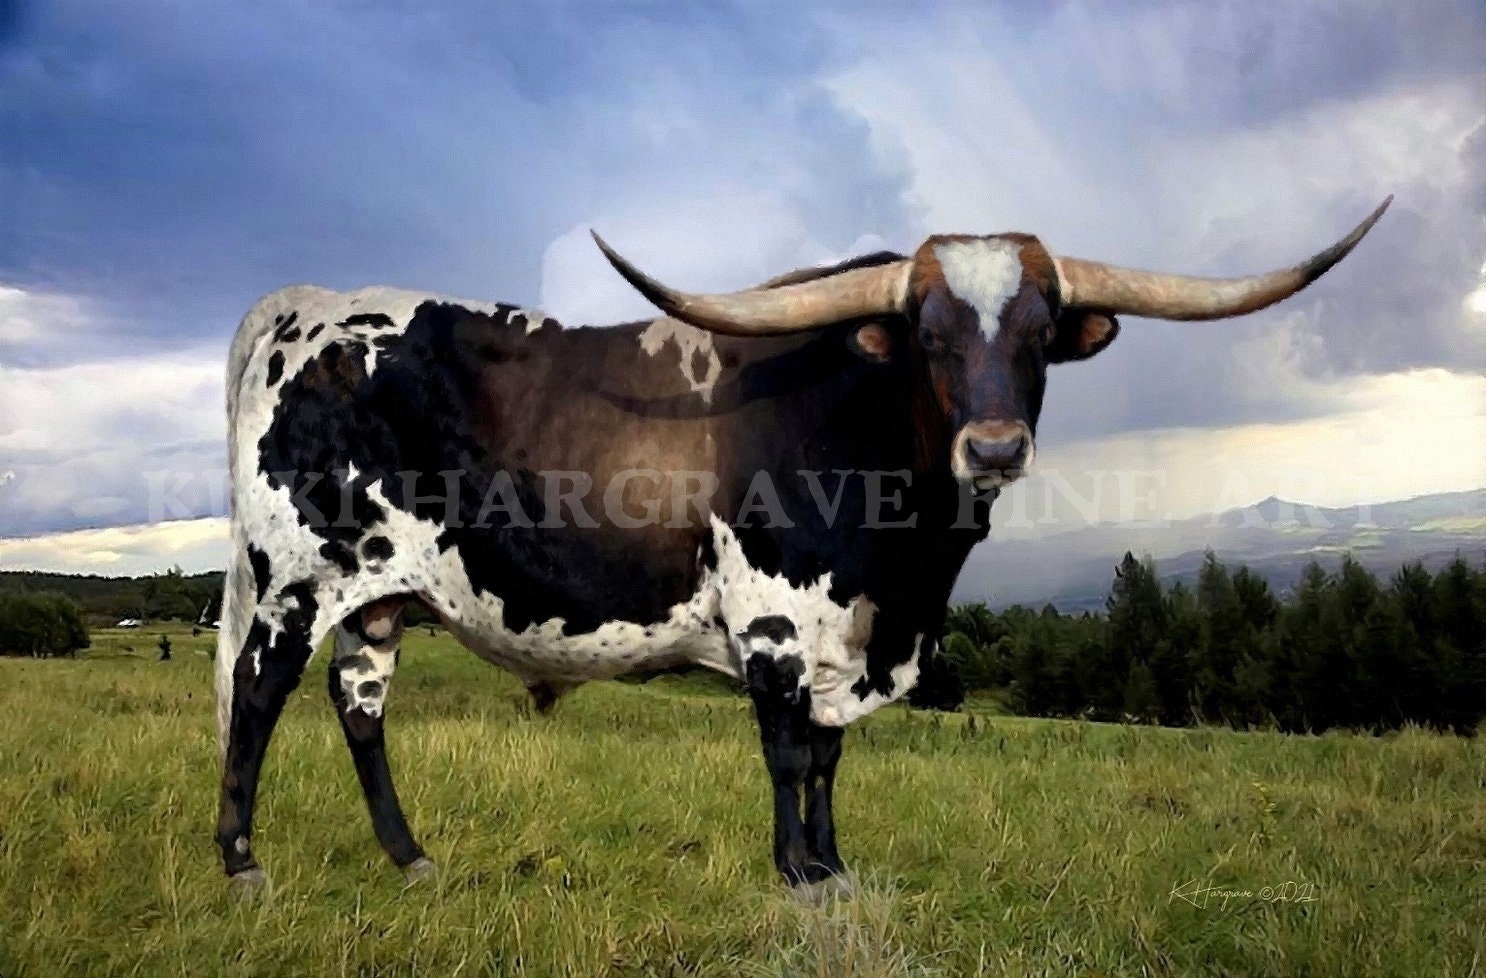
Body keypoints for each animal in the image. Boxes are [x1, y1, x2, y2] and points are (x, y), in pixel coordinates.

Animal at [214, 197, 1390, 892]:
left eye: (1040, 336)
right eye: (926, 338)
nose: (995, 445)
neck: (906, 565)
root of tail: (304, 305)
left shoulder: (849, 633)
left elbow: (828, 757)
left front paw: (833, 867)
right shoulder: (776, 615)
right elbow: (786, 750)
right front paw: (796, 877)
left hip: (377, 594)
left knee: (359, 707)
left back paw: (410, 858)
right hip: (295, 580)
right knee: (258, 697)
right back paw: (239, 863)